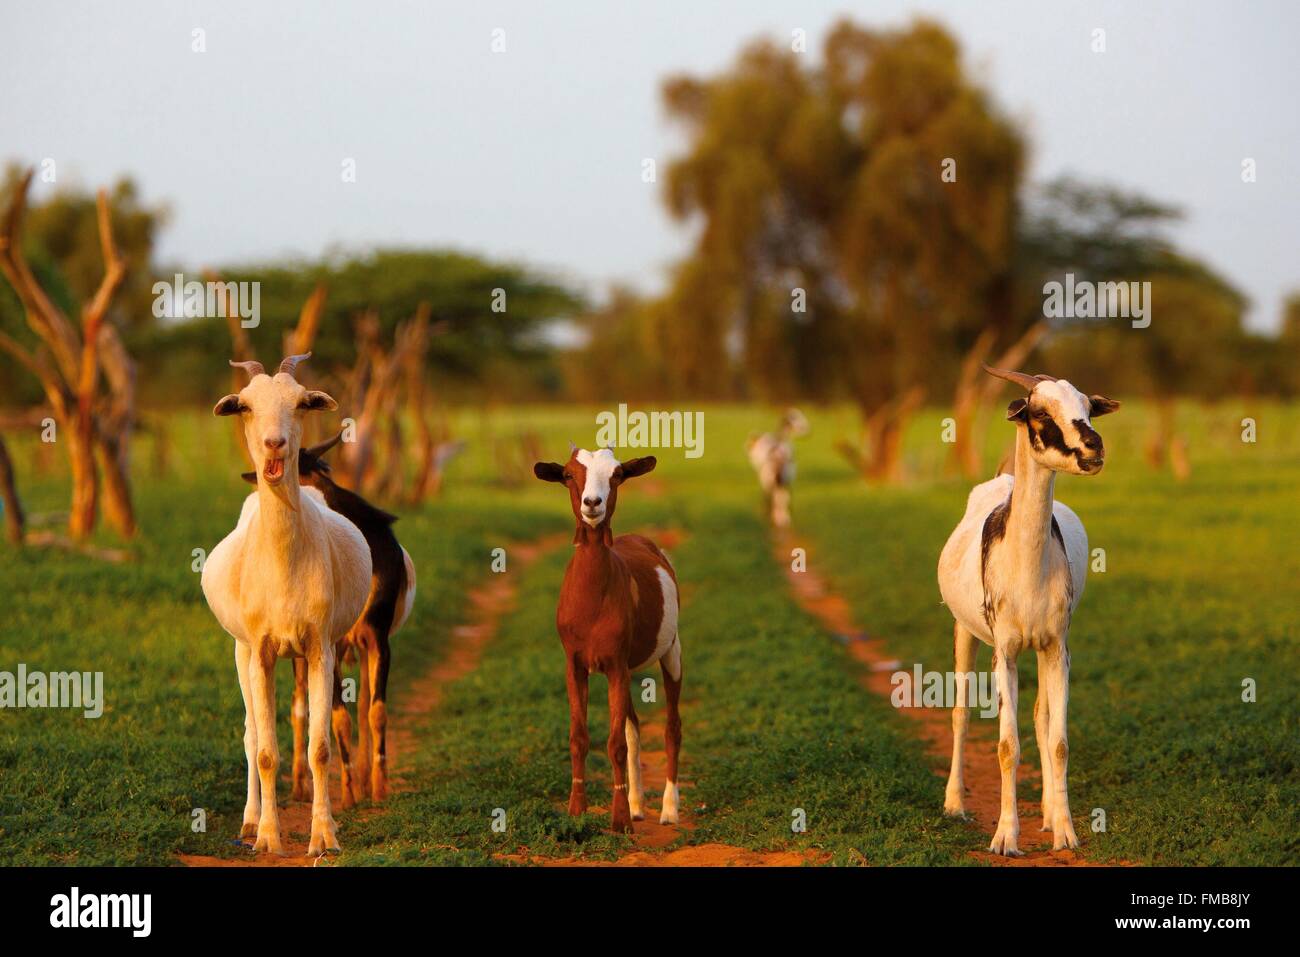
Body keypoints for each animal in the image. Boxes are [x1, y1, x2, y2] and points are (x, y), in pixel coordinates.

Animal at [201, 354, 372, 856]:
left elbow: (320, 748)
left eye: (300, 403)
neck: (282, 562)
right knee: (250, 732)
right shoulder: (259, 649)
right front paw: (269, 839)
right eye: (244, 405)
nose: (274, 444)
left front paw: (324, 837)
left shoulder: (320, 647)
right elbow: (264, 750)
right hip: (240, 651)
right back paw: (249, 822)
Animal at [241, 432, 416, 806]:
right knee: (299, 706)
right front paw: (348, 793)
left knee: (362, 701)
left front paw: (379, 786)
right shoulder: (328, 641)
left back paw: (363, 776)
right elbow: (337, 717)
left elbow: (376, 710)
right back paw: (299, 785)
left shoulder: (378, 636)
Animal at [533, 445, 682, 832]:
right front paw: (577, 810)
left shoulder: (615, 662)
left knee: (672, 726)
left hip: (671, 648)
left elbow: (615, 744)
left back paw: (668, 810)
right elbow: (580, 737)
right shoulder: (575, 663)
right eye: (568, 474)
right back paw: (637, 805)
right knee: (634, 726)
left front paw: (619, 822)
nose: (592, 503)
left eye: (617, 475)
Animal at [937, 365, 1119, 855]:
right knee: (960, 713)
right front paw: (1004, 837)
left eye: (1087, 407)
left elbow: (1057, 740)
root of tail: (1003, 478)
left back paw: (1050, 813)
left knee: (1041, 716)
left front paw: (1066, 832)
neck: (1026, 570)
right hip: (963, 629)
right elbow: (1006, 745)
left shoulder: (1057, 646)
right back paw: (954, 804)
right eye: (1040, 412)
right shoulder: (1005, 650)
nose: (1094, 447)